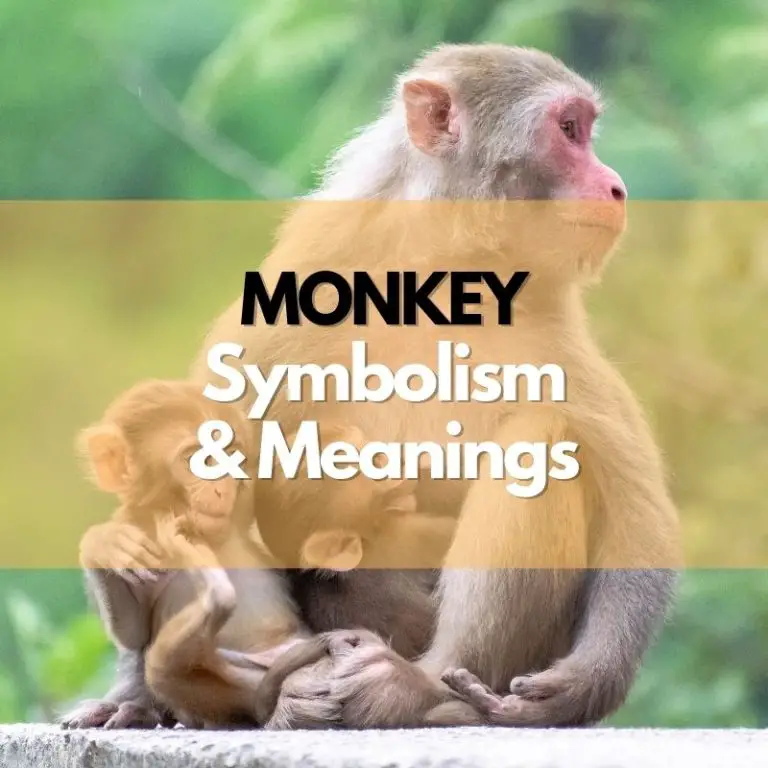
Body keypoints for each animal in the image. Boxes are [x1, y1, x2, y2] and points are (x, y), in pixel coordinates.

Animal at [182, 42, 681, 728]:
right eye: (569, 129)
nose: (616, 187)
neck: (440, 282)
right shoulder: (293, 292)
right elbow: (203, 484)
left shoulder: (551, 327)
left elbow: (636, 514)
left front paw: (582, 684)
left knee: (542, 437)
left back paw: (421, 690)